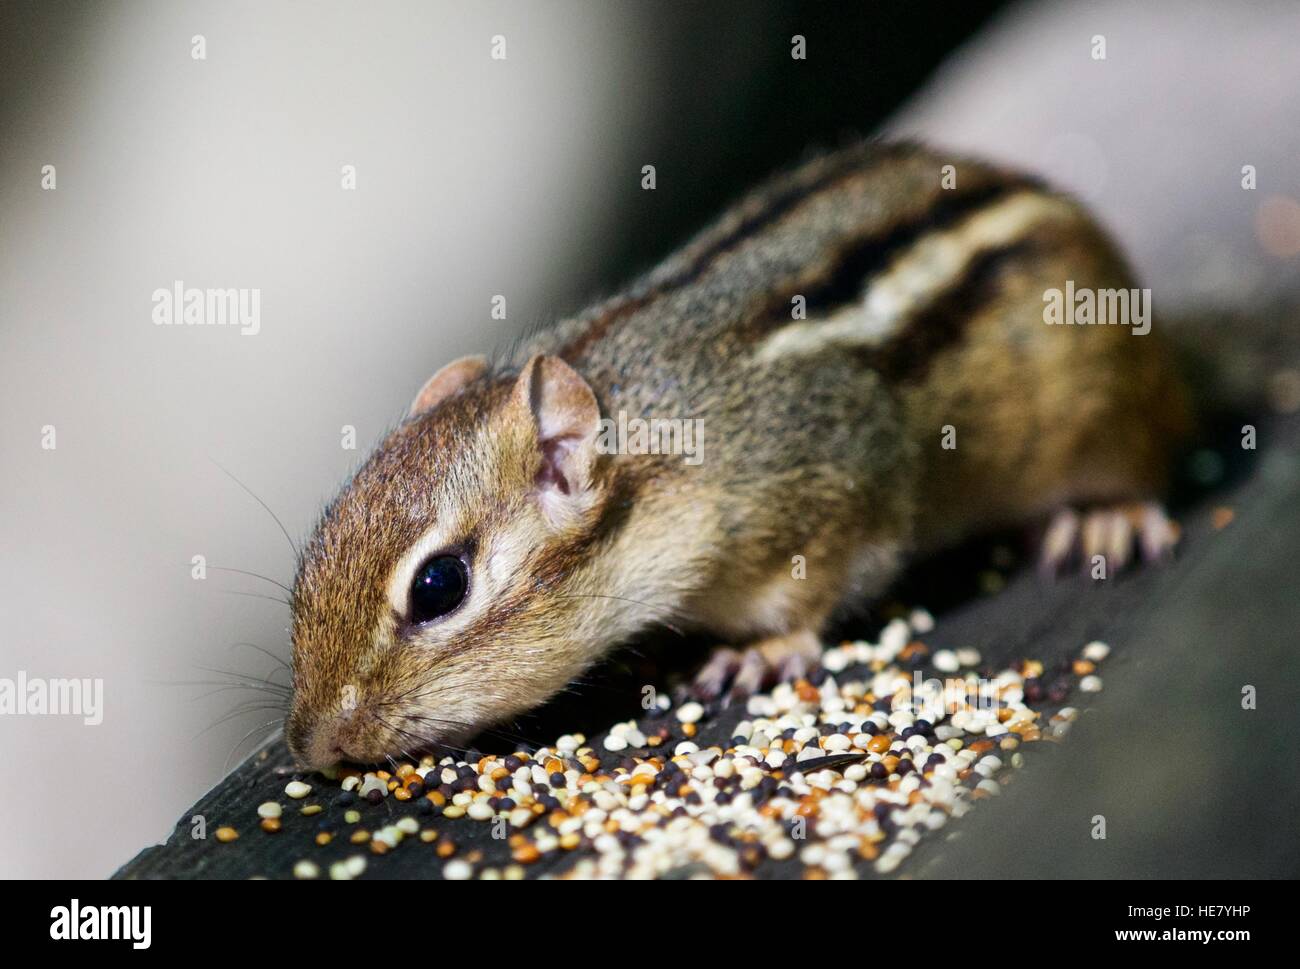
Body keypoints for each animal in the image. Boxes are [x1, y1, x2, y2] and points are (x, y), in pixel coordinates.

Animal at [285, 141, 1193, 770]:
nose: (311, 746)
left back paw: (1108, 517)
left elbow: (826, 586)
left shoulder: (830, 493)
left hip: (1108, 415)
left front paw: (762, 651)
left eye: (439, 586)